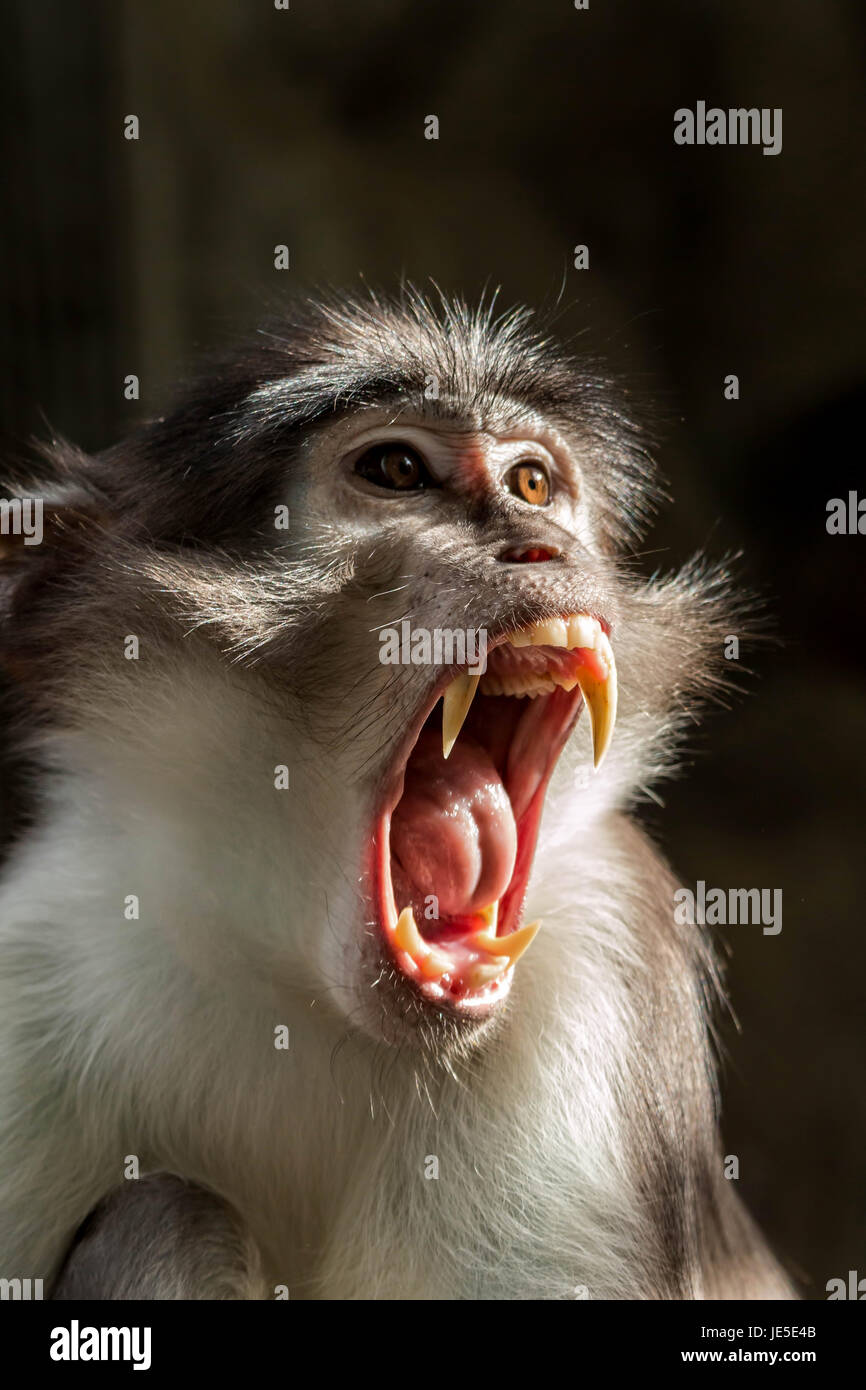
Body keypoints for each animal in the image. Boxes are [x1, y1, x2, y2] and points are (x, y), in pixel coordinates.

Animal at [0, 286, 795, 1300]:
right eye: (396, 469)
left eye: (534, 483)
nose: (541, 545)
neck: (293, 986)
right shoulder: (35, 969)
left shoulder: (602, 966)